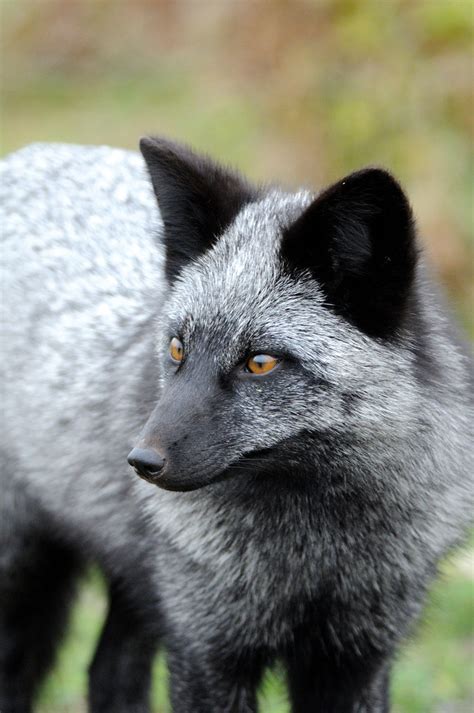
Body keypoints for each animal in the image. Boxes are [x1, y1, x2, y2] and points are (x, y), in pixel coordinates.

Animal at [0, 137, 472, 713]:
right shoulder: (205, 650)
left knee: (108, 671)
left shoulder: (355, 659)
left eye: (260, 362)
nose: (140, 462)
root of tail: (31, 153)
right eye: (177, 349)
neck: (314, 555)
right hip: (27, 574)